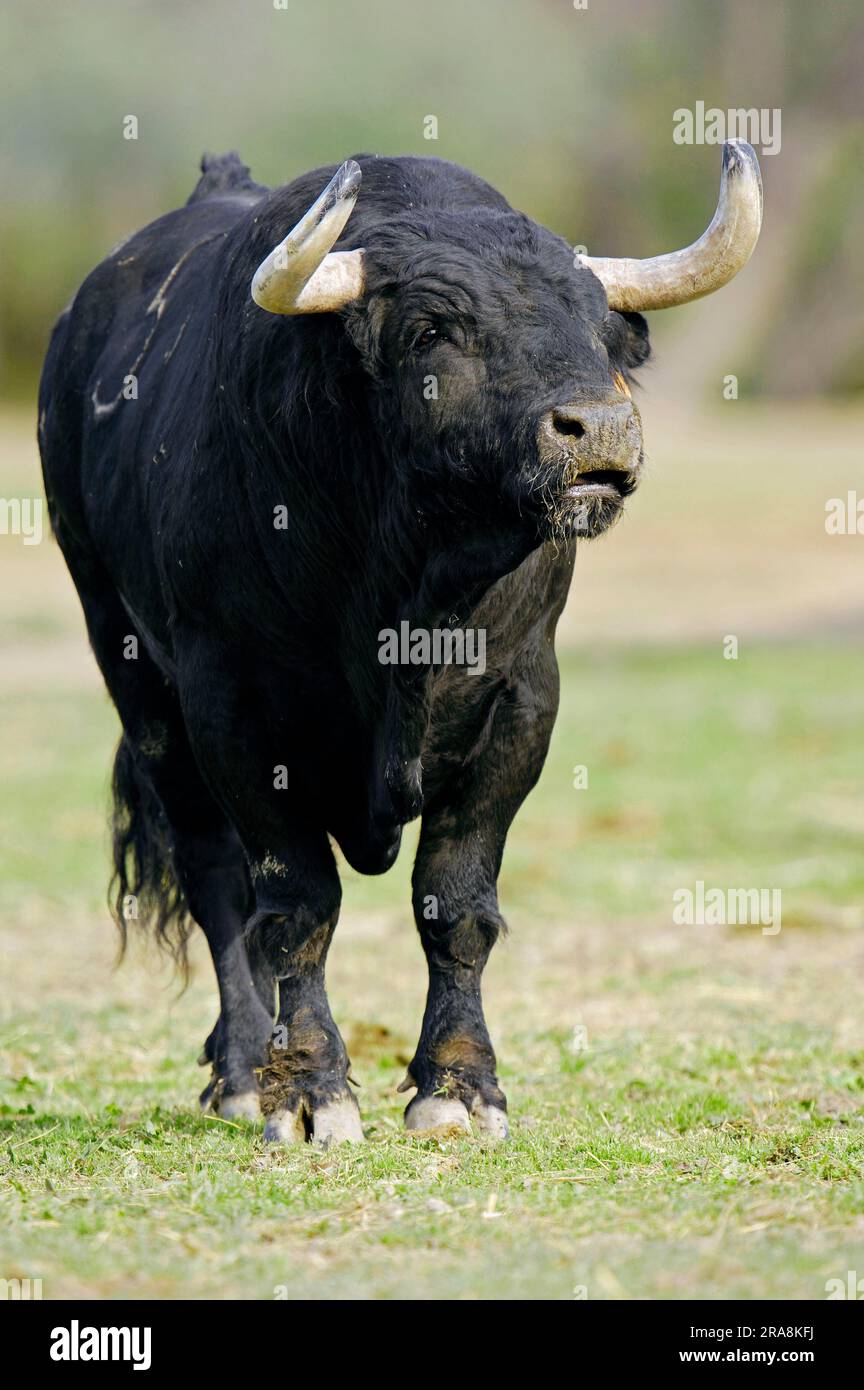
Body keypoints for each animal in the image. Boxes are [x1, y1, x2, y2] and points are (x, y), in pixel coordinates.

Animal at [38, 141, 761, 1143]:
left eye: (599, 330)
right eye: (432, 330)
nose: (601, 429)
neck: (408, 595)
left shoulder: (523, 703)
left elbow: (456, 903)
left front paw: (459, 1086)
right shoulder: (234, 709)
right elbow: (296, 903)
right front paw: (308, 1090)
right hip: (133, 670)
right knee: (215, 876)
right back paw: (242, 1067)